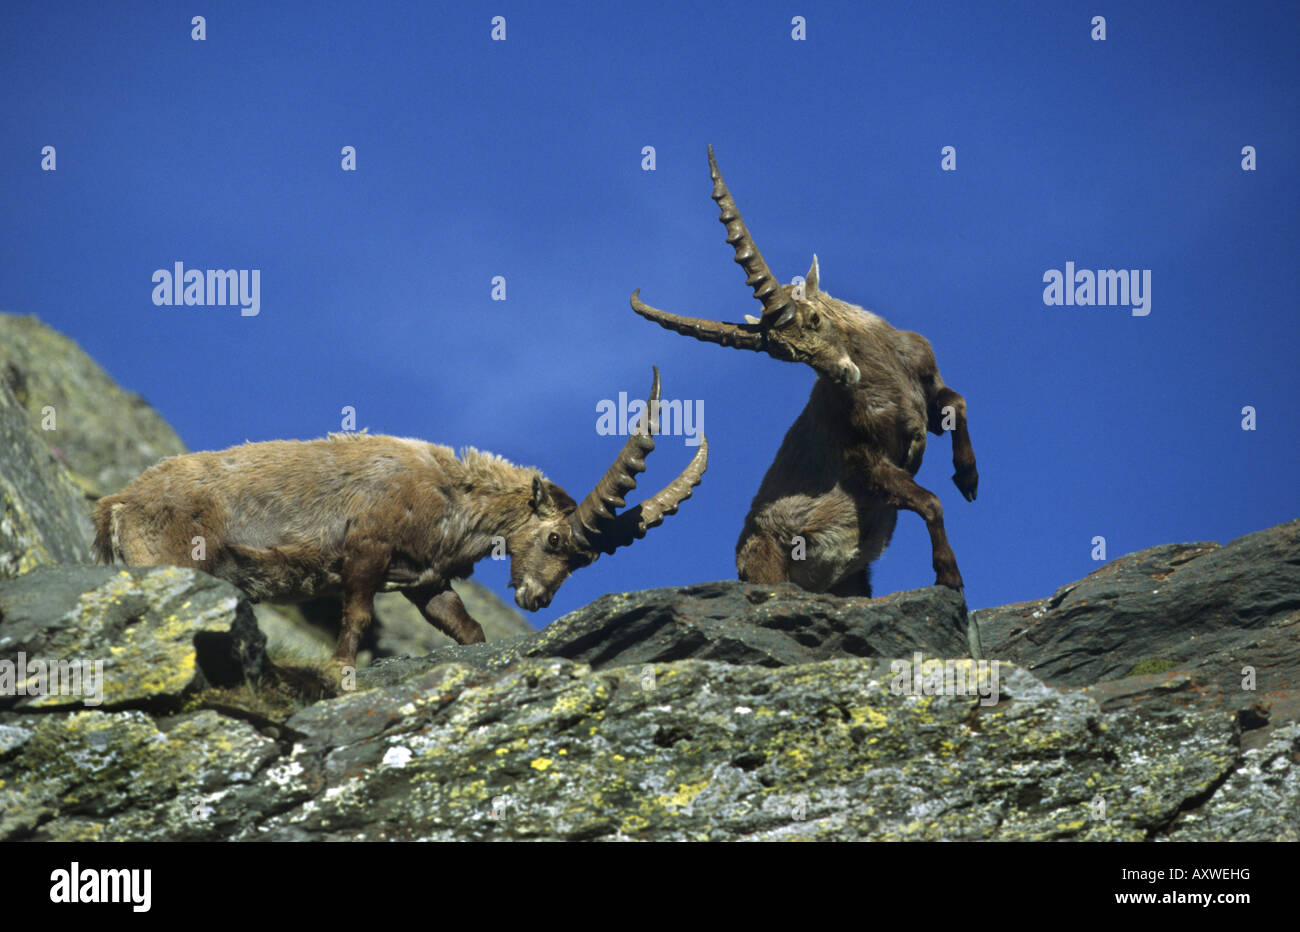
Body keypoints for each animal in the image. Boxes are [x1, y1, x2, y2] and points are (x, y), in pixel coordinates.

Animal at [92, 368, 706, 666]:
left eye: (582, 560)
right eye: (556, 539)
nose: (537, 599)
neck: (449, 495)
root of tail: (118, 502)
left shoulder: (425, 582)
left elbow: (467, 629)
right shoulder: (367, 550)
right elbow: (359, 618)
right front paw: (341, 675)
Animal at [630, 147, 977, 598]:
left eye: (814, 318)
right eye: (788, 356)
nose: (845, 376)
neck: (887, 374)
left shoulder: (925, 386)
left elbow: (956, 402)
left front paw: (968, 478)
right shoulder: (867, 458)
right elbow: (929, 501)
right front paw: (949, 576)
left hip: (854, 582)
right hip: (771, 568)